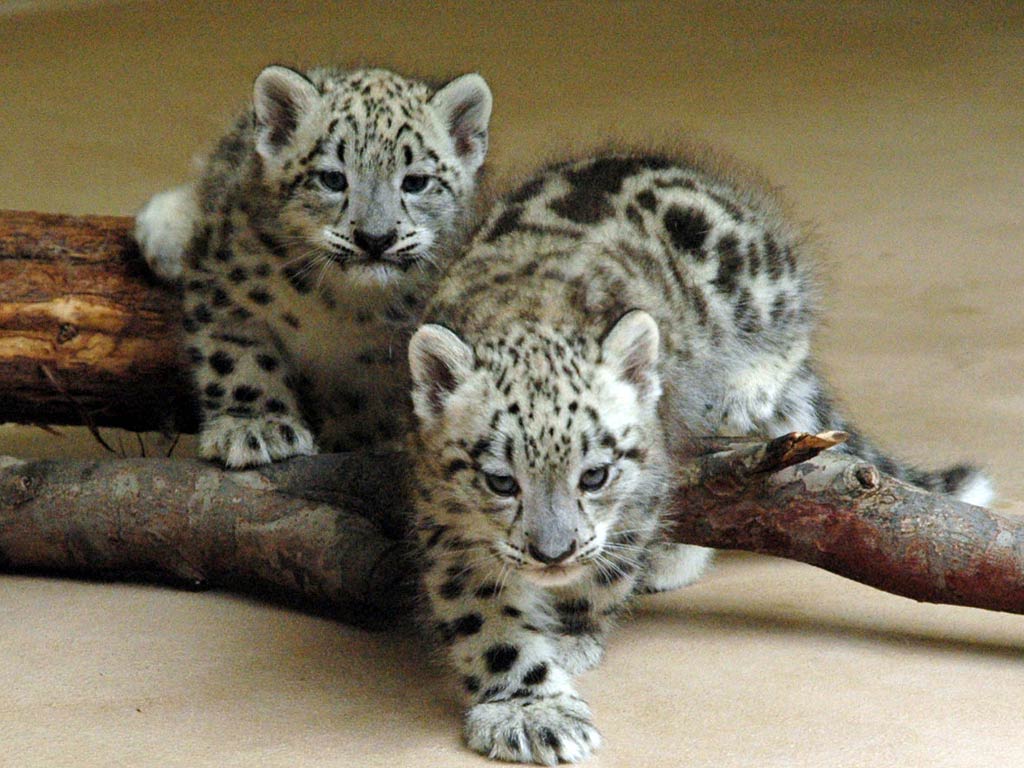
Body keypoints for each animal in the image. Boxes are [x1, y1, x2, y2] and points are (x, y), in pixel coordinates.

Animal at [135, 64, 491, 467]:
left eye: (416, 182)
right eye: (332, 178)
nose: (375, 238)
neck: (337, 306)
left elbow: (378, 394)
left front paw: (362, 437)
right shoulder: (223, 287)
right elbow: (237, 357)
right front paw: (255, 427)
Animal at [406, 150, 994, 764]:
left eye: (595, 476)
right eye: (501, 482)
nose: (553, 552)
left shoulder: (639, 497)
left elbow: (605, 573)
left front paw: (570, 636)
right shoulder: (447, 522)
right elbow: (484, 619)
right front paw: (528, 710)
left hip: (746, 264)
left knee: (792, 322)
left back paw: (746, 387)